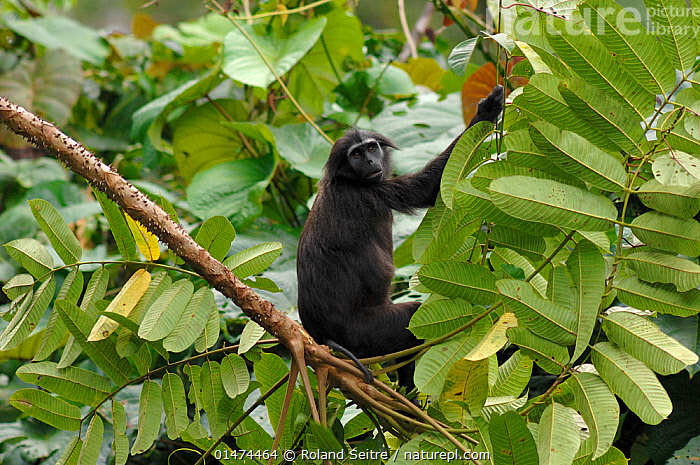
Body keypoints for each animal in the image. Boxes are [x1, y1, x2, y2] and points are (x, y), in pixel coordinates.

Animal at [297, 85, 504, 390]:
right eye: (356, 155)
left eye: (372, 148)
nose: (370, 161)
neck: (345, 180)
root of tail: (322, 336)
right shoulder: (373, 194)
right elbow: (429, 188)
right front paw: (487, 111)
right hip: (365, 333)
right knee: (410, 319)